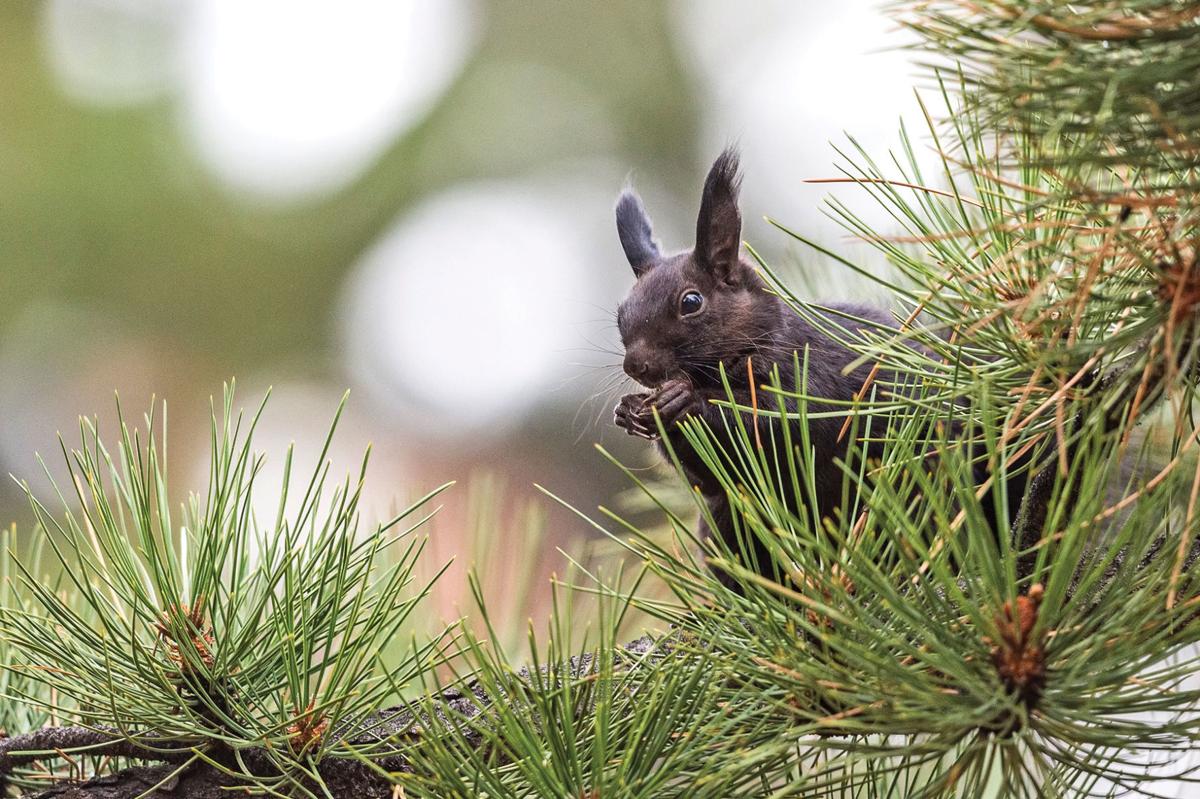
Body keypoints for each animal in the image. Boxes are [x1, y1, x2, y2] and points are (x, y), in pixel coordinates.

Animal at [612, 148, 992, 582]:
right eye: (620, 313)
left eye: (691, 302)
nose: (636, 365)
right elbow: (707, 480)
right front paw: (630, 411)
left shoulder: (814, 375)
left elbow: (786, 425)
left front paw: (687, 400)